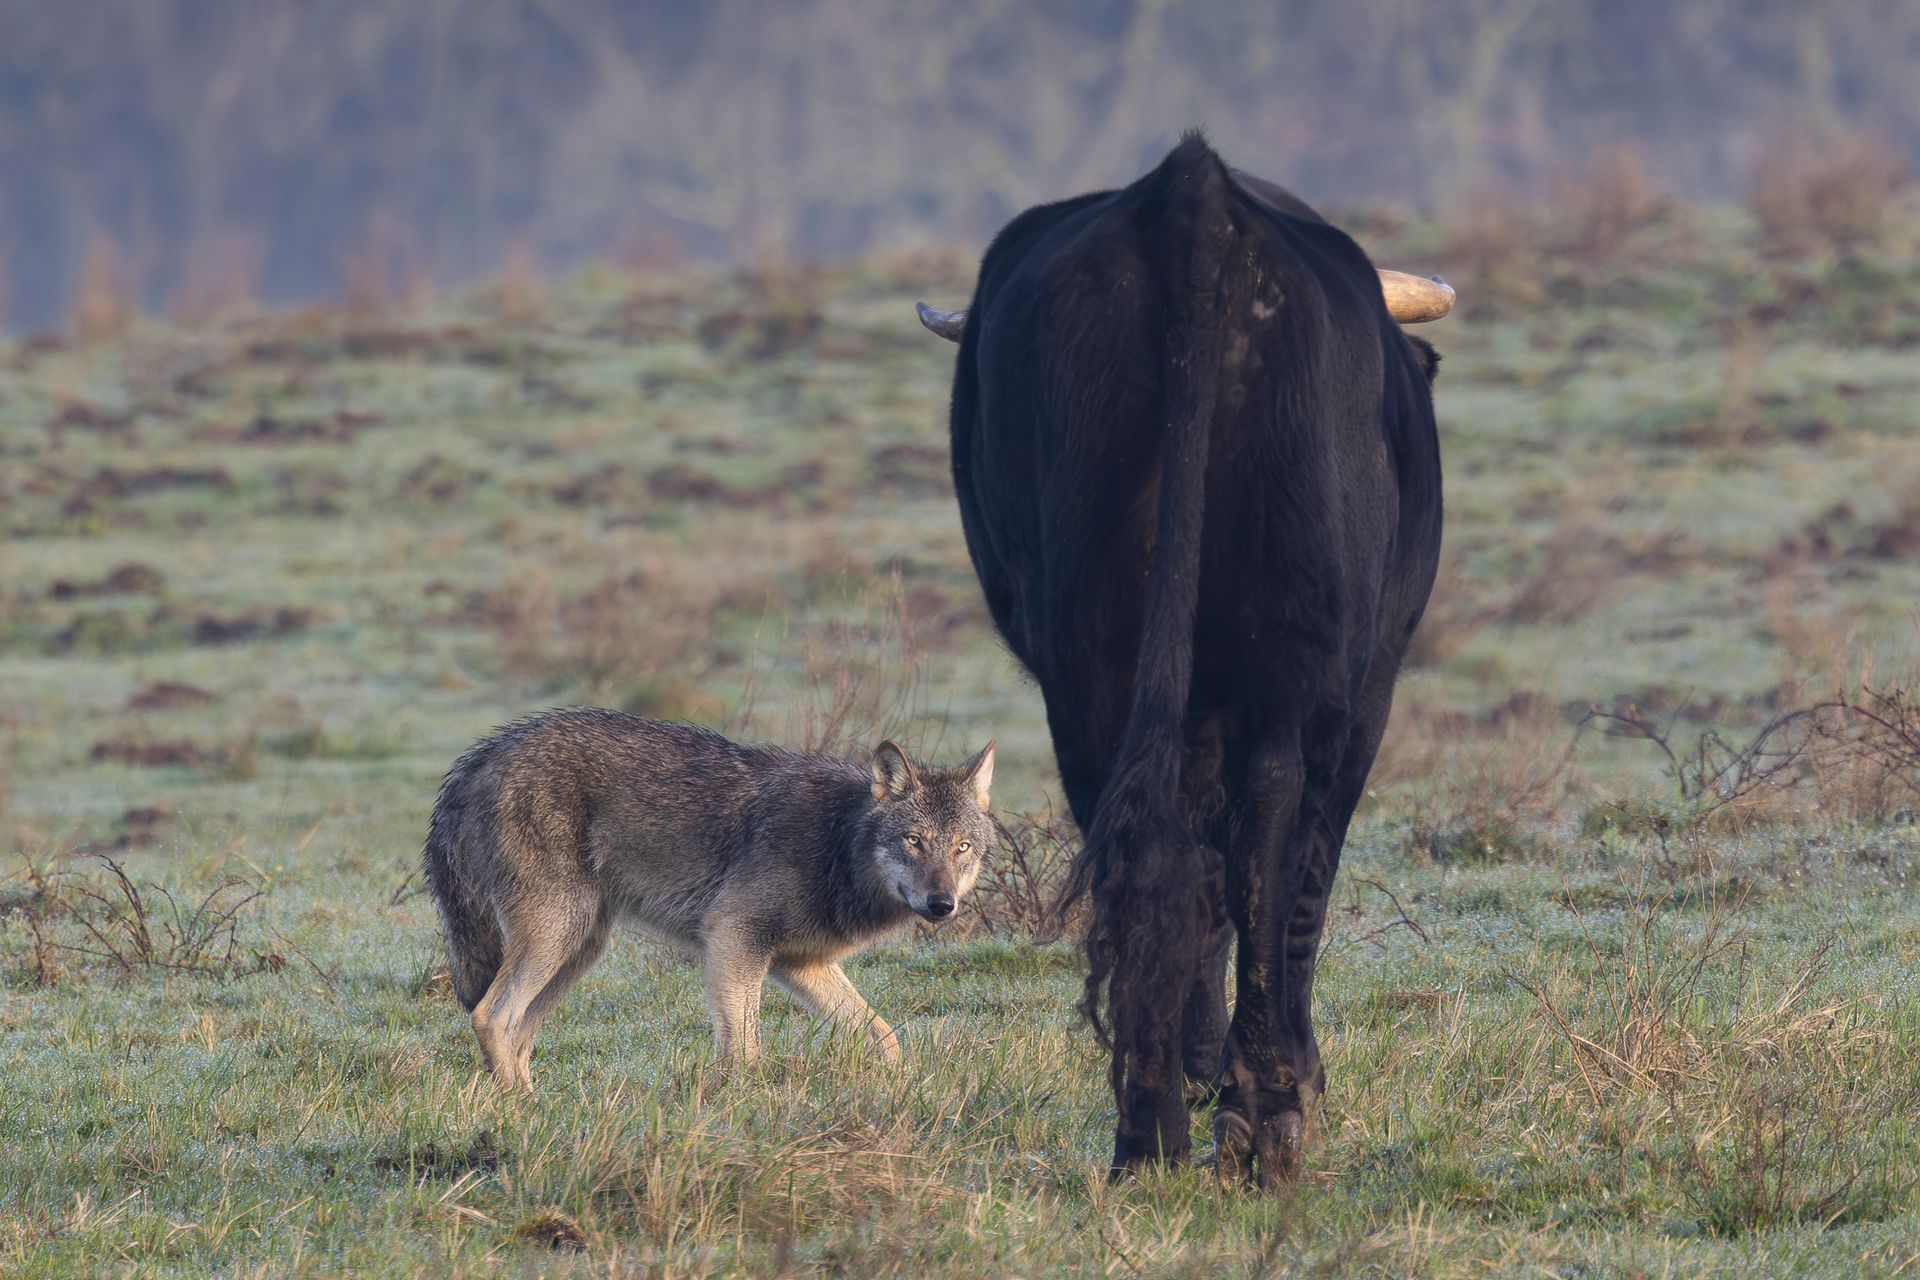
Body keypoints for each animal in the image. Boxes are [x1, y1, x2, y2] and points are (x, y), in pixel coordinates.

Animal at [423, 708, 996, 1089]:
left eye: (961, 847)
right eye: (914, 841)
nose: (942, 904)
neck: (837, 842)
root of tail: (479, 756)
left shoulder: (799, 965)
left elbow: (885, 1038)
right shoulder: (734, 940)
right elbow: (744, 1051)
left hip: (579, 949)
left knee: (518, 1032)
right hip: (558, 936)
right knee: (491, 1017)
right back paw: (521, 1107)